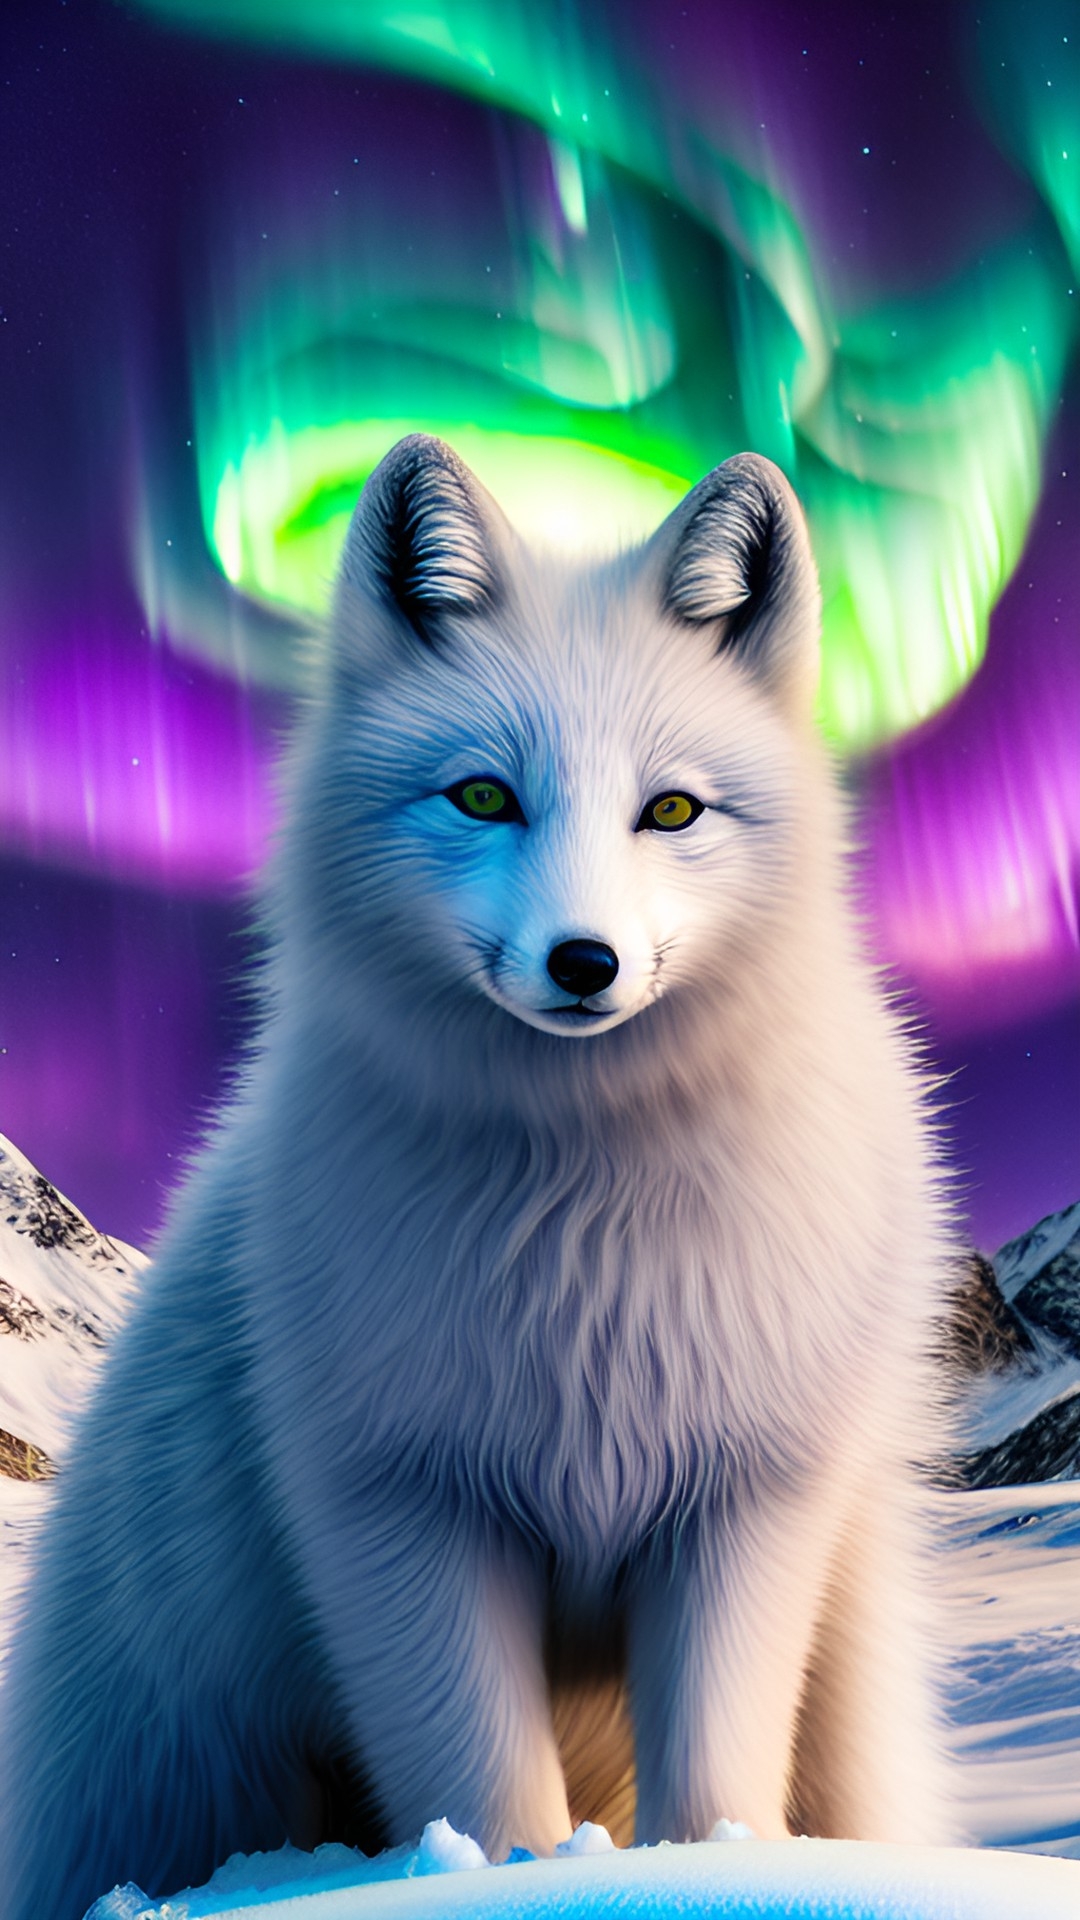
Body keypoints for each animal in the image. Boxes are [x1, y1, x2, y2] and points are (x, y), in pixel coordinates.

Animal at [0, 436, 957, 1918]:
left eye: (671, 810)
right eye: (484, 797)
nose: (584, 963)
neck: (587, 1212)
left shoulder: (749, 1494)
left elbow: (718, 1761)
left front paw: (712, 1868)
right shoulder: (399, 1503)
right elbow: (481, 1777)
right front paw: (503, 1876)